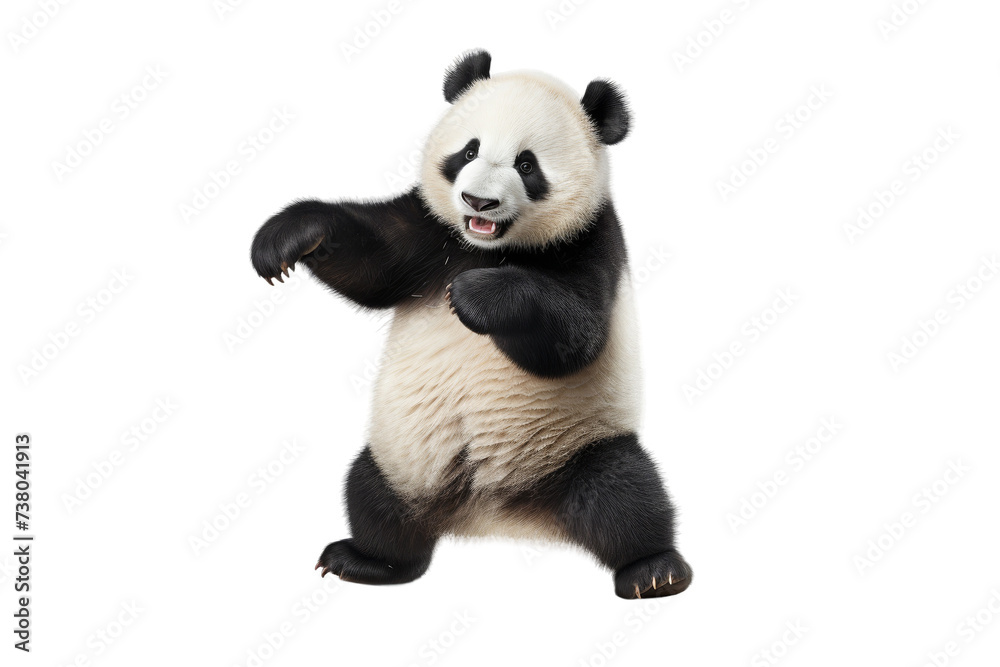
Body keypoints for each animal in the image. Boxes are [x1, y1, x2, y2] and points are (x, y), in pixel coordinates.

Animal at [251, 50, 692, 599]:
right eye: (468, 151)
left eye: (527, 165)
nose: (478, 202)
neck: (486, 247)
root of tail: (495, 517)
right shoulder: (428, 233)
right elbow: (373, 264)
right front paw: (289, 237)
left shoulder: (592, 242)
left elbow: (576, 337)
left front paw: (475, 296)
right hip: (401, 462)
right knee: (374, 499)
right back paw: (366, 561)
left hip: (578, 445)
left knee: (624, 494)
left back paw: (654, 571)